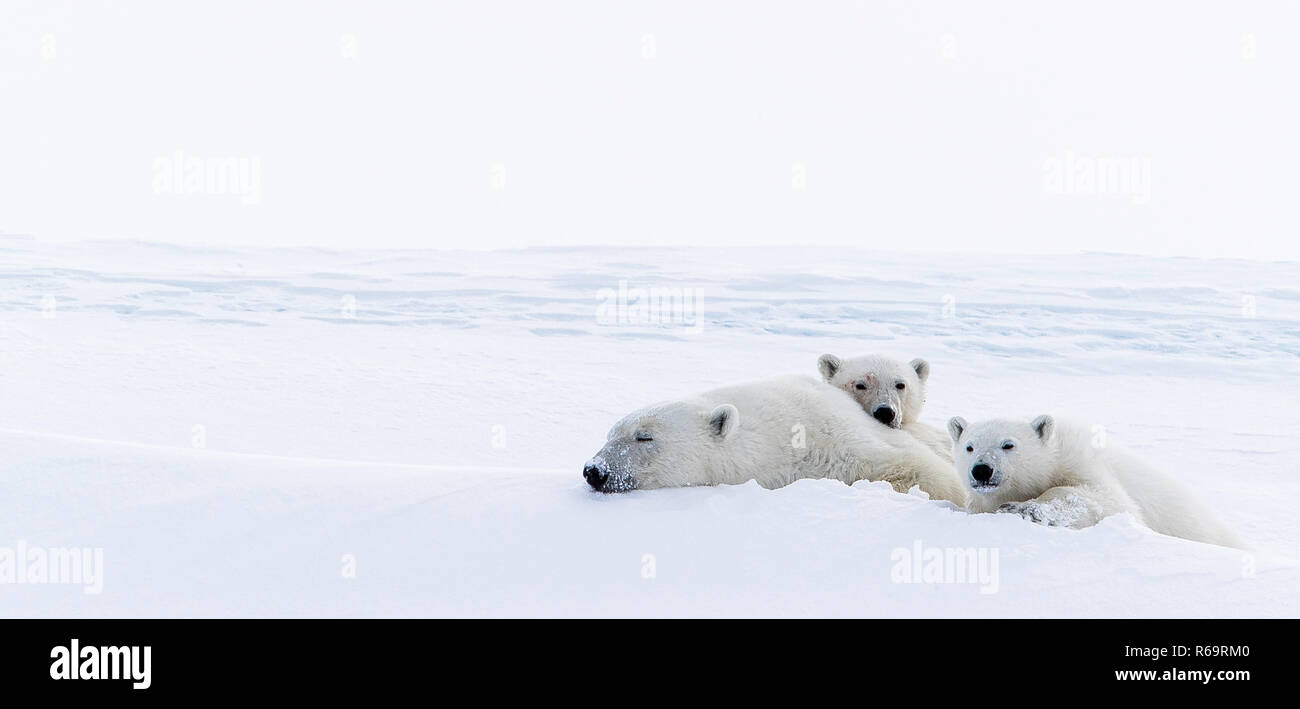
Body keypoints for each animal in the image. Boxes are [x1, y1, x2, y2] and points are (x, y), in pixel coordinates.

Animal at [946, 414, 1247, 549]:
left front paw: (1023, 508)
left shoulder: (1082, 460)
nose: (982, 470)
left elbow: (1108, 501)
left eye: (1008, 445)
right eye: (970, 447)